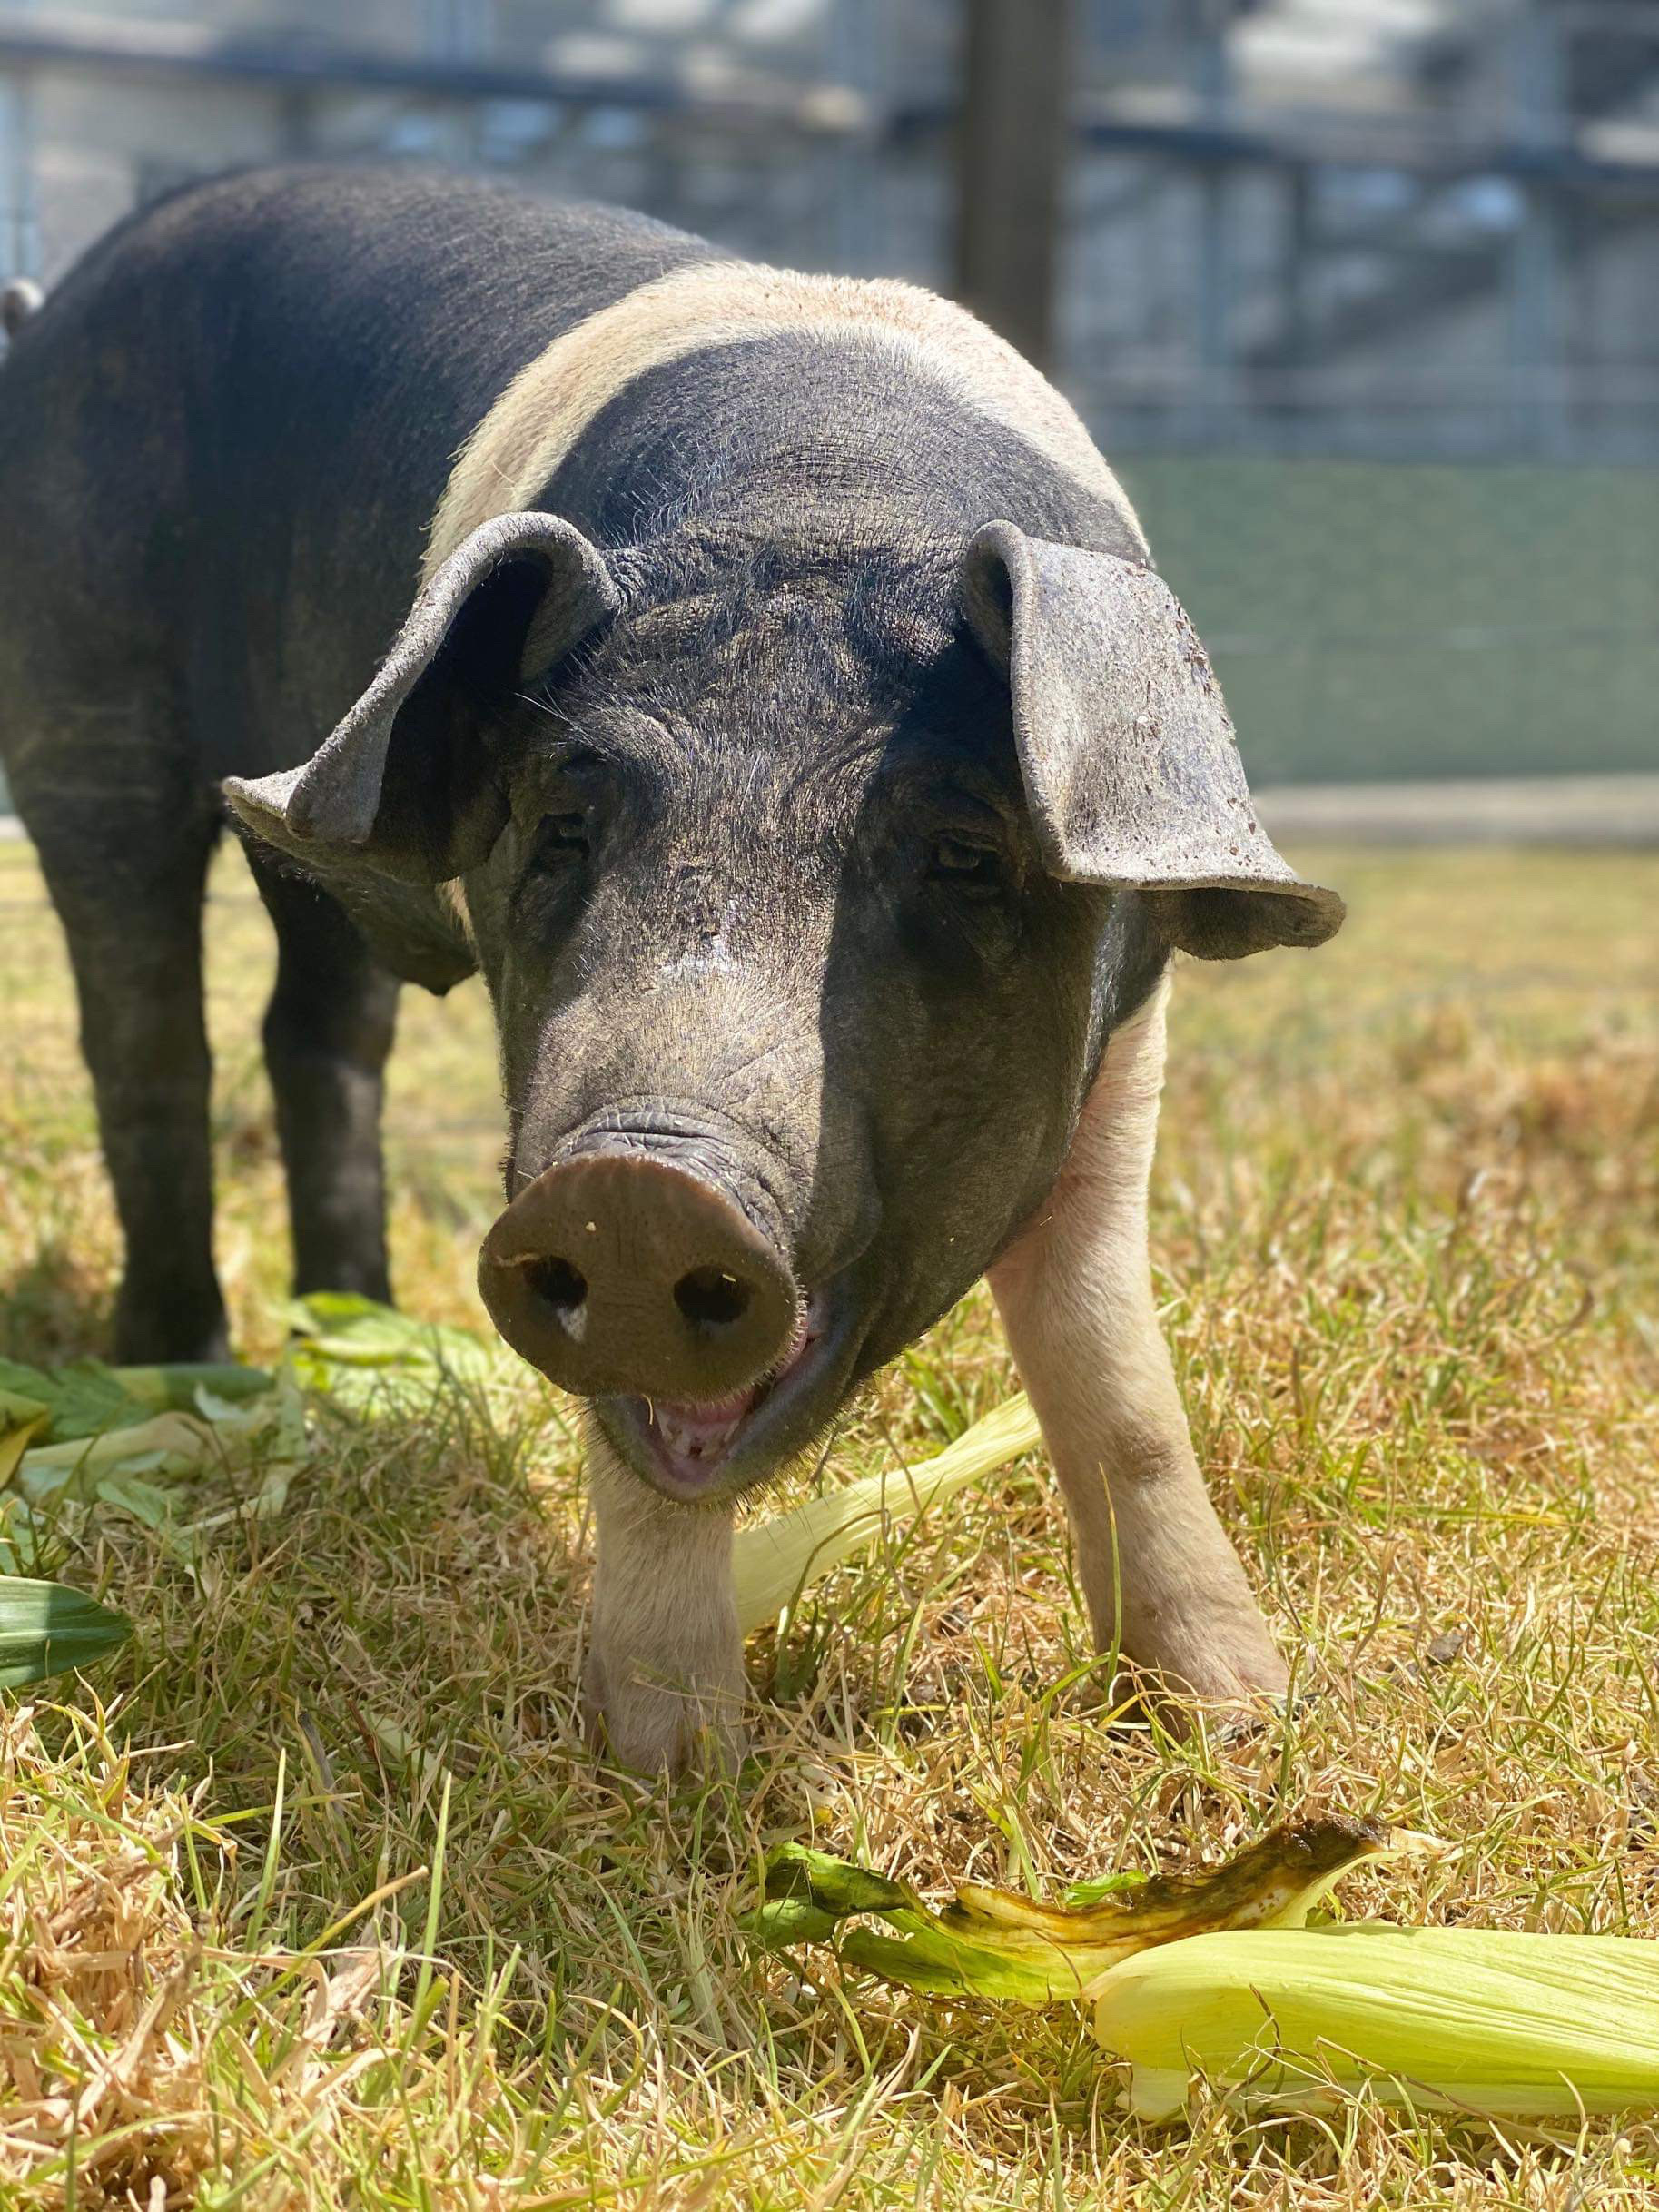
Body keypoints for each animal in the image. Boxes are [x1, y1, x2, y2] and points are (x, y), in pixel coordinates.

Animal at [0, 166, 1342, 1772]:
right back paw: (185, 1368)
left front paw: (1236, 1720)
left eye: (960, 852)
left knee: (315, 1032)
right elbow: (632, 1436)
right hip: (83, 705)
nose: (638, 1185)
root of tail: (56, 309)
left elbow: (1108, 1356)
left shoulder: (1128, 1021)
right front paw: (670, 1768)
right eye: (564, 827)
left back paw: (366, 1327)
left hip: (320, 845)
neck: (823, 496)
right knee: (148, 1033)